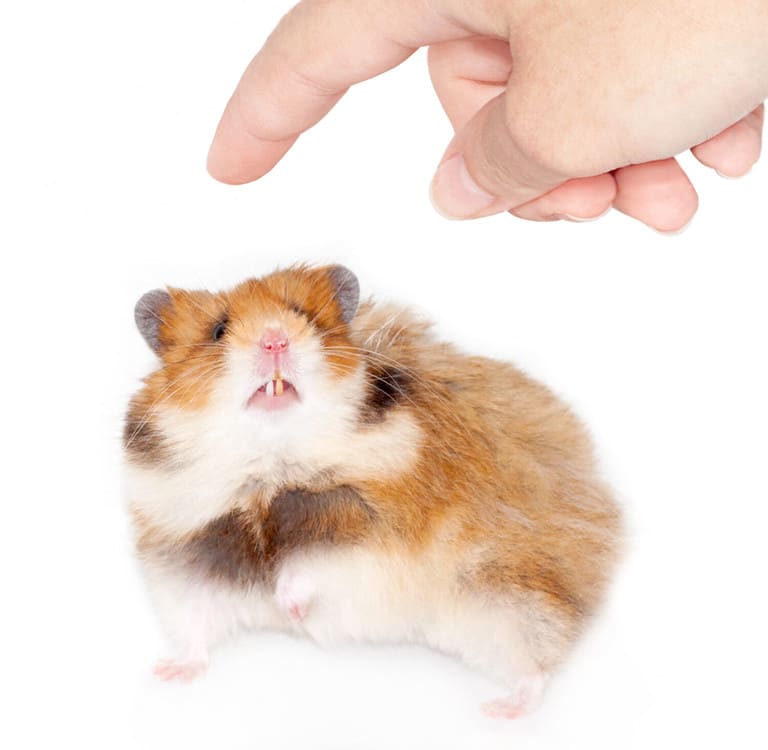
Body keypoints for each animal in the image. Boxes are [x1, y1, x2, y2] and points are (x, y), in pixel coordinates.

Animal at [124, 263, 622, 719]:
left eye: (303, 314)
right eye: (219, 330)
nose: (275, 341)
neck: (272, 467)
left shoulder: (373, 533)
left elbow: (308, 567)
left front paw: (290, 608)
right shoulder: (186, 557)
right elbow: (194, 627)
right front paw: (168, 674)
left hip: (512, 596)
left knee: (537, 663)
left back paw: (502, 710)